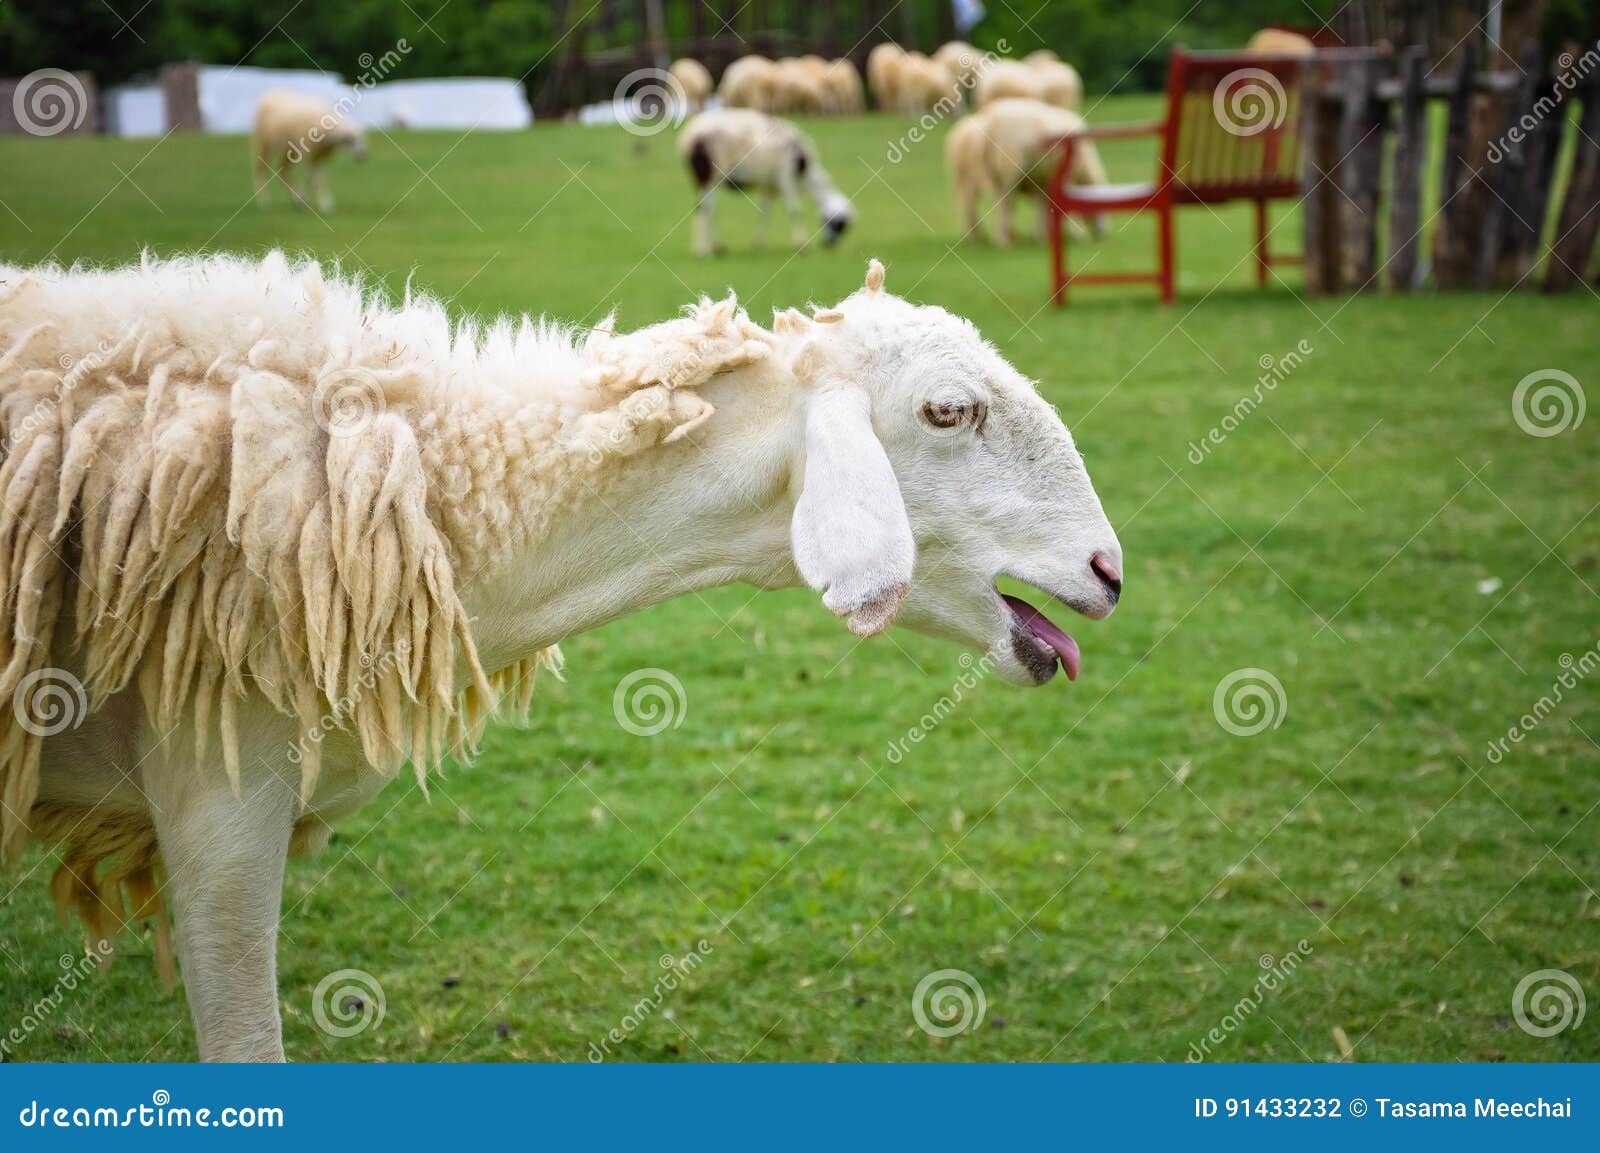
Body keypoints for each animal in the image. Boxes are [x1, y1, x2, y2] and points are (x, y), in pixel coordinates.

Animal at [679, 108, 854, 256]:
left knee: (708, 208)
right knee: (705, 208)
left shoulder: (769, 186)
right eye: (839, 224)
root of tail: (690, 136)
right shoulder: (785, 177)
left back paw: (716, 247)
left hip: (703, 178)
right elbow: (795, 211)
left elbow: (764, 213)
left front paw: (758, 245)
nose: (829, 245)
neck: (805, 175)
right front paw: (802, 245)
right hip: (711, 174)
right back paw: (702, 251)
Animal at [947, 97, 1109, 245]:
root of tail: (989, 123)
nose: (1102, 232)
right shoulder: (1066, 177)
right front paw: (1079, 235)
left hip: (987, 174)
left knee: (978, 203)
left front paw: (1043, 234)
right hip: (1006, 170)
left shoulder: (1041, 180)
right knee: (1003, 203)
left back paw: (985, 236)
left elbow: (1041, 206)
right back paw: (1002, 240)